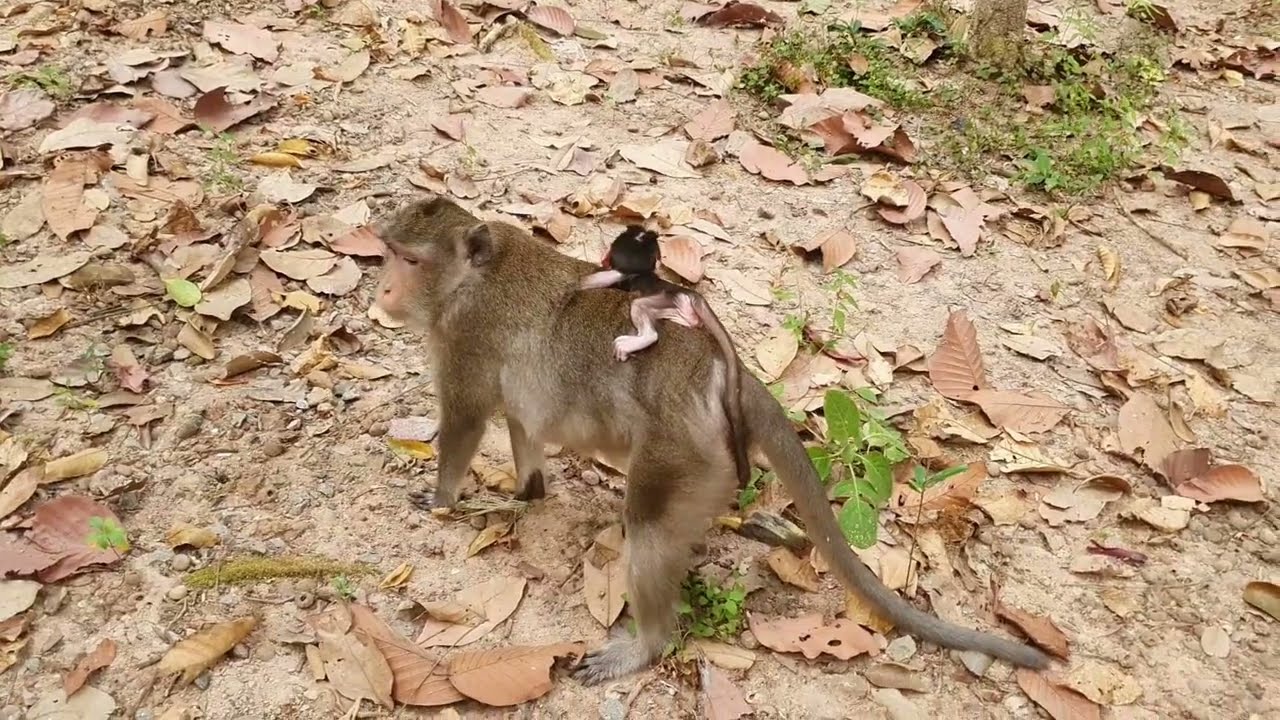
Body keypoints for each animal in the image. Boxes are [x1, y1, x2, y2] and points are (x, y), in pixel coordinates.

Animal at [579, 225, 749, 492]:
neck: (642, 272)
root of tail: (689, 293)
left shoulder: (618, 275)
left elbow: (587, 283)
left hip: (662, 300)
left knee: (641, 311)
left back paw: (640, 339)